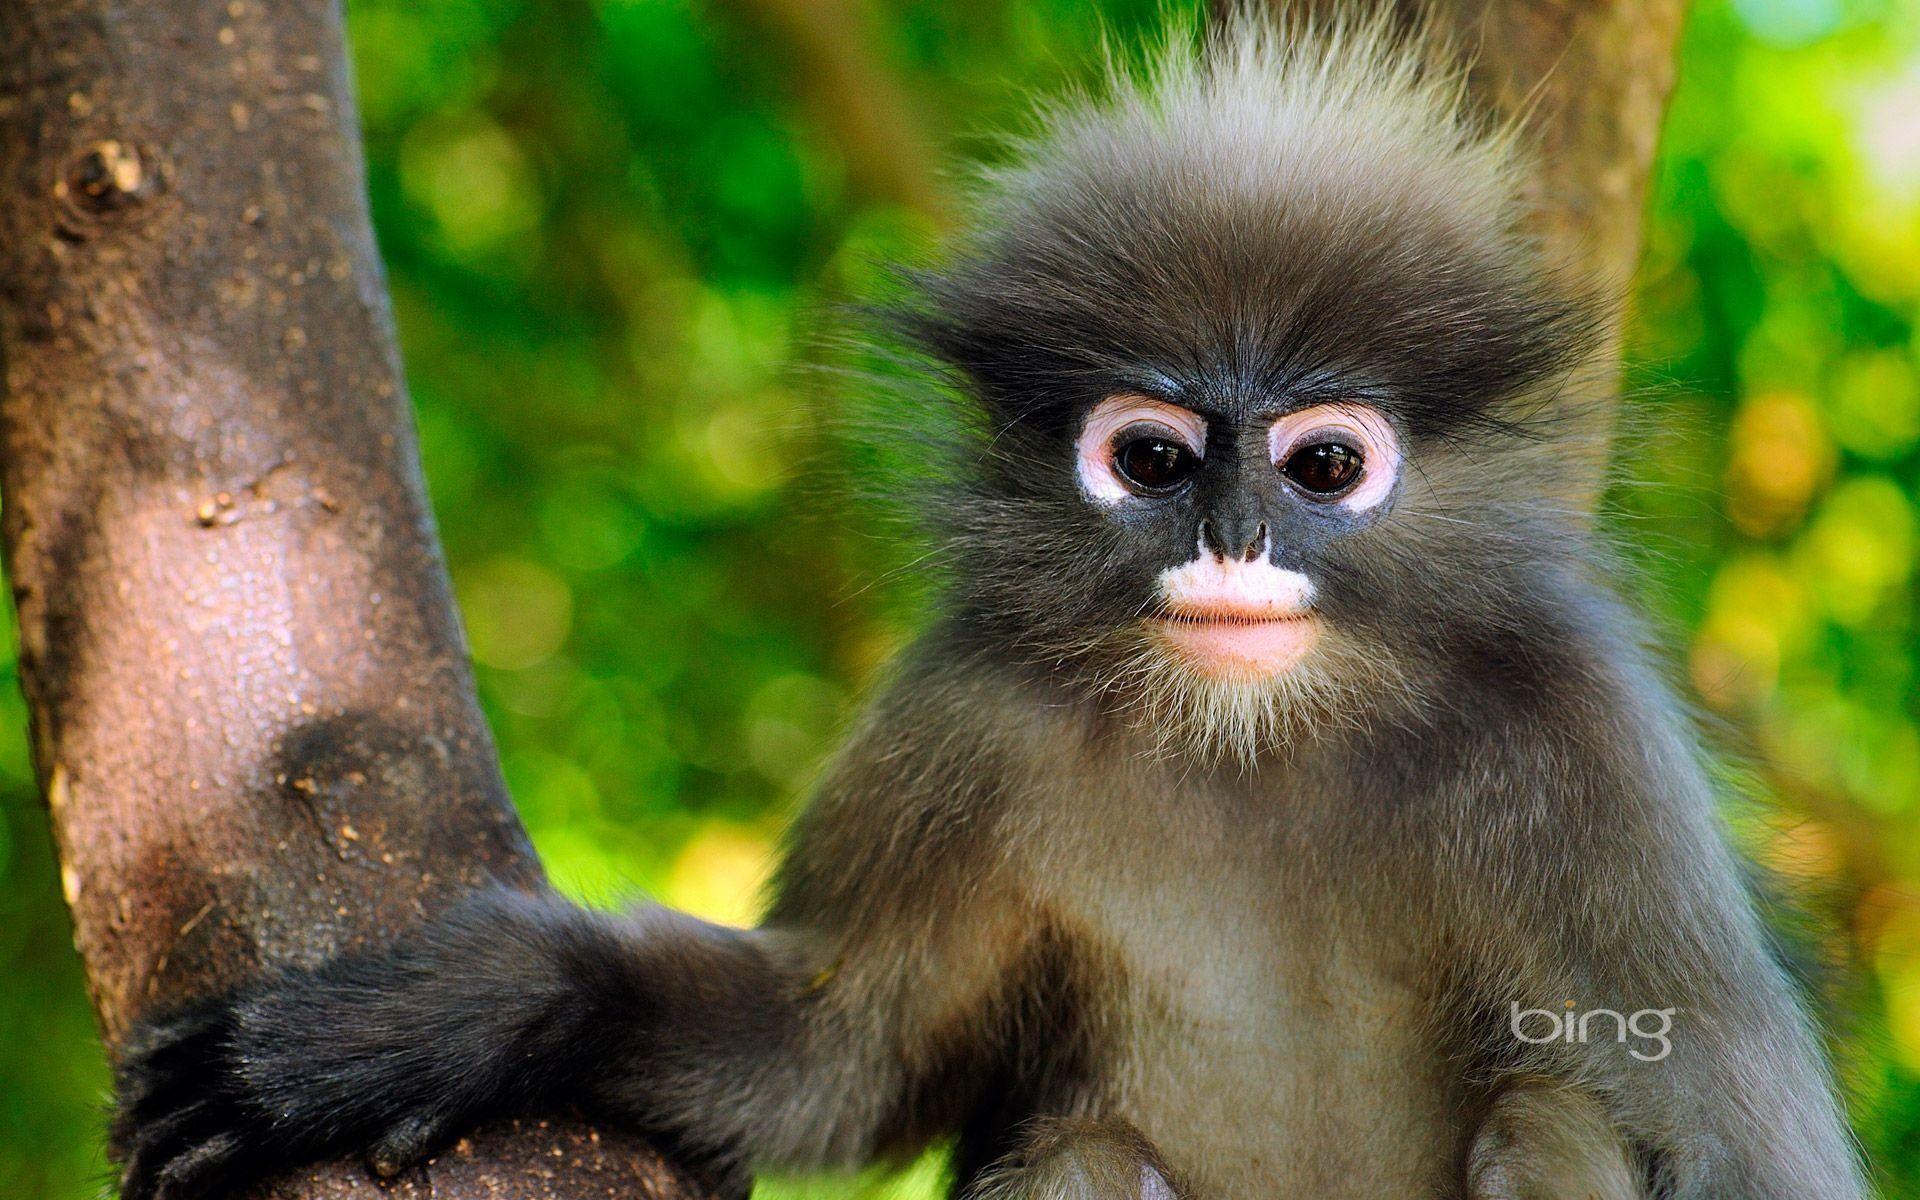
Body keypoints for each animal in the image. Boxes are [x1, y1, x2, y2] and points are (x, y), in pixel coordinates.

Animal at [112, 13, 1868, 1200]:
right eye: (1153, 458)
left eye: (1324, 465)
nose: (1234, 540)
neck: (1257, 743)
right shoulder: (958, 717)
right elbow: (834, 1056)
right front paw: (446, 1017)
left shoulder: (1588, 743)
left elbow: (1746, 1146)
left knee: (1555, 1113)